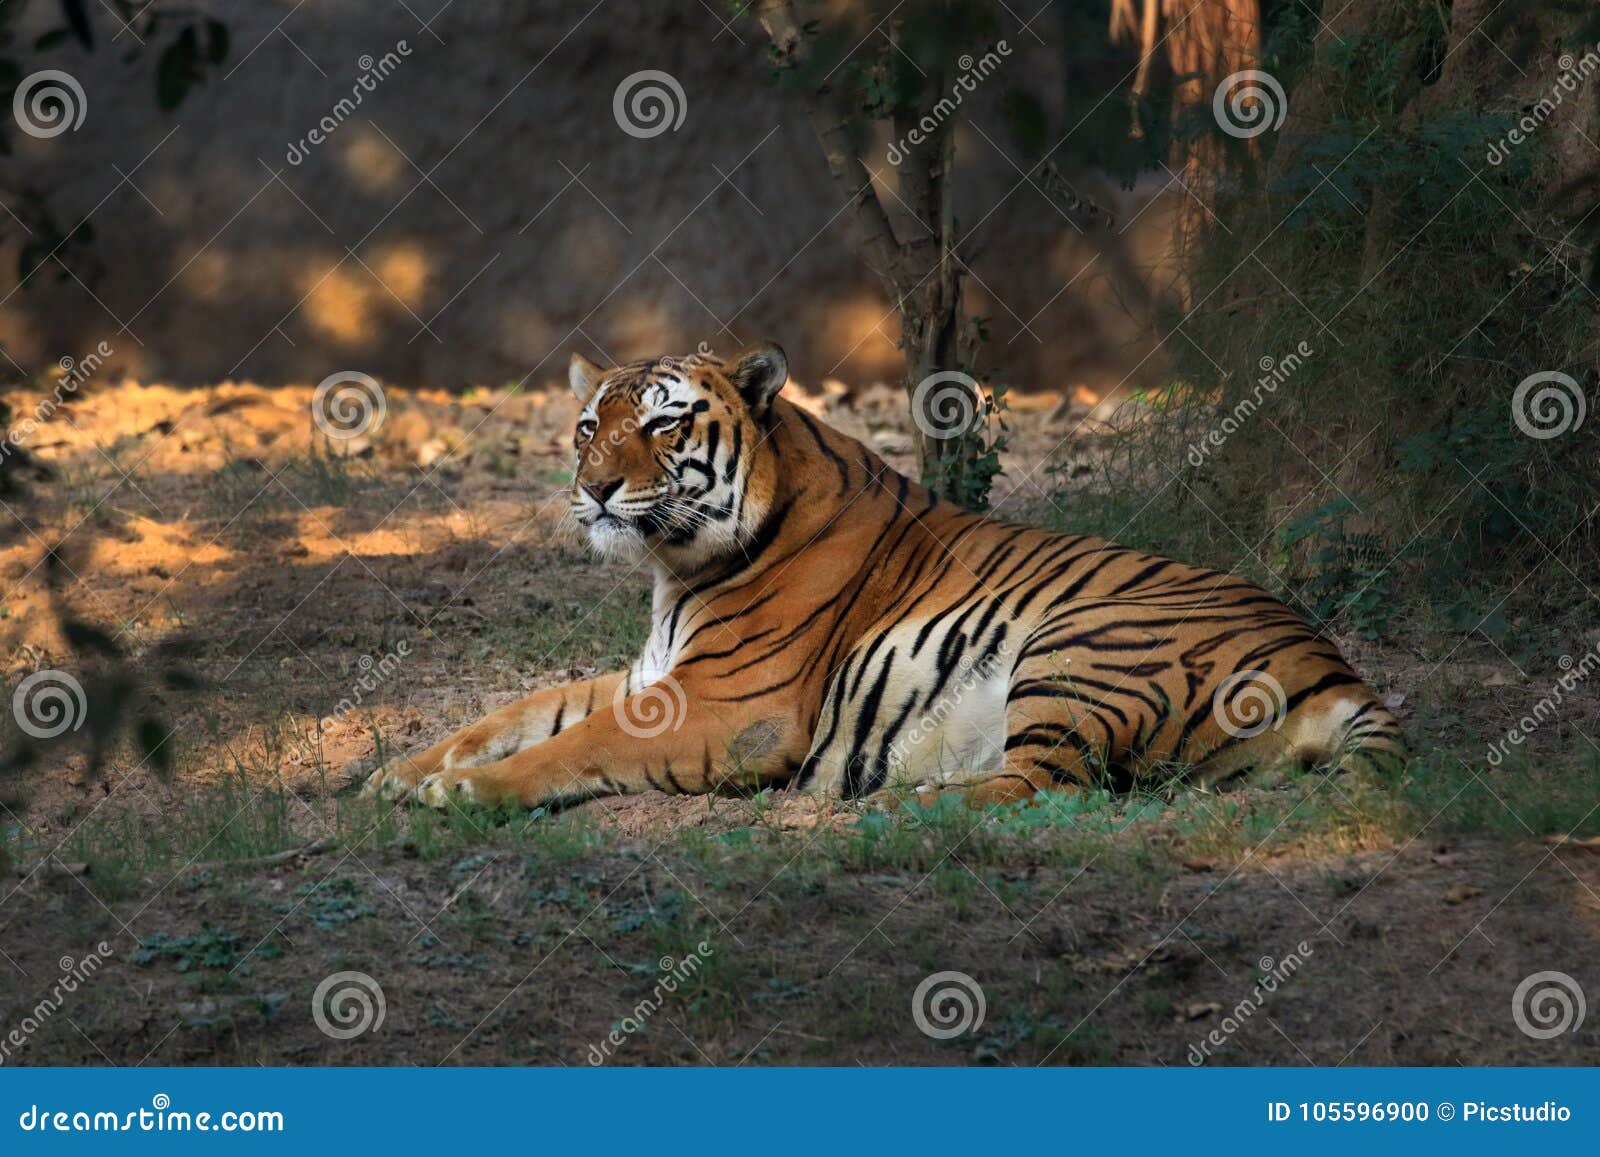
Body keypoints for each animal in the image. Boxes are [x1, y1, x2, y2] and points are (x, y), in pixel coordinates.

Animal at [360, 341, 1404, 810]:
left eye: (659, 423)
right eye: (587, 427)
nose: (594, 486)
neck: (670, 571)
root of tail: (1339, 672)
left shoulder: (728, 706)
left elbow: (568, 747)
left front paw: (457, 793)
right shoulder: (650, 677)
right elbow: (512, 713)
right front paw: (394, 771)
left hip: (1085, 642)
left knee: (1045, 784)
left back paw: (899, 803)